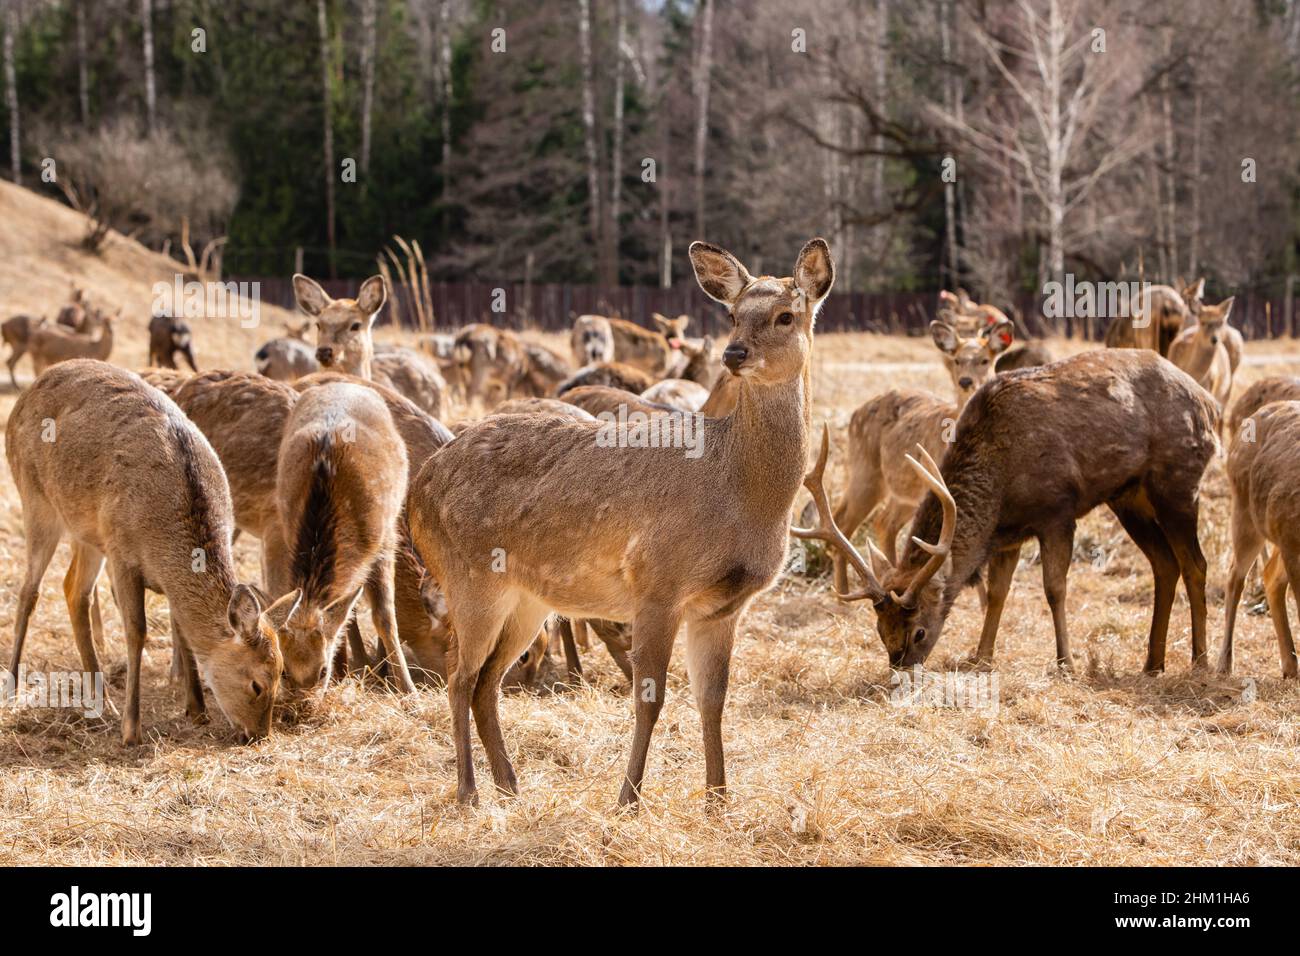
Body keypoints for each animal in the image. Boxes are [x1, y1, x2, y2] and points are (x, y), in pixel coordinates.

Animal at [6, 360, 284, 744]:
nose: (258, 735)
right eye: (257, 684)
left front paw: (197, 710)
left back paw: (102, 700)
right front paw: (132, 730)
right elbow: (137, 630)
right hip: (36, 501)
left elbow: (180, 628)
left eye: (281, 675)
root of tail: (25, 396)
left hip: (88, 532)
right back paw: (14, 689)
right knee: (29, 591)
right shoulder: (123, 554)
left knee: (74, 589)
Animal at [271, 381, 414, 693]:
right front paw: (346, 670)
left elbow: (385, 616)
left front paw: (407, 688)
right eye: (284, 671)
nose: (302, 704)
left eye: (321, 671)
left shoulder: (385, 540)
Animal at [407, 237, 834, 807]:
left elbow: (714, 701)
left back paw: (511, 786)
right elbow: (649, 699)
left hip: (527, 598)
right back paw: (469, 793)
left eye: (786, 315)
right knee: (458, 678)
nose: (734, 353)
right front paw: (628, 797)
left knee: (486, 682)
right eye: (732, 314)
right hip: (469, 578)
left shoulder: (723, 607)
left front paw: (719, 800)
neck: (739, 494)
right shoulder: (658, 585)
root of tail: (418, 489)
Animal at [796, 348, 1218, 672]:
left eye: (919, 630)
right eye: (880, 631)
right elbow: (998, 593)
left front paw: (1066, 662)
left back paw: (1201, 661)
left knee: (1195, 564)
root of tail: (1209, 405)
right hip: (1129, 498)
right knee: (1165, 564)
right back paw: (1153, 663)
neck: (1000, 485)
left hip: (1178, 481)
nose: (900, 670)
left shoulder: (1057, 512)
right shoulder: (1007, 535)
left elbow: (1054, 589)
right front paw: (981, 656)